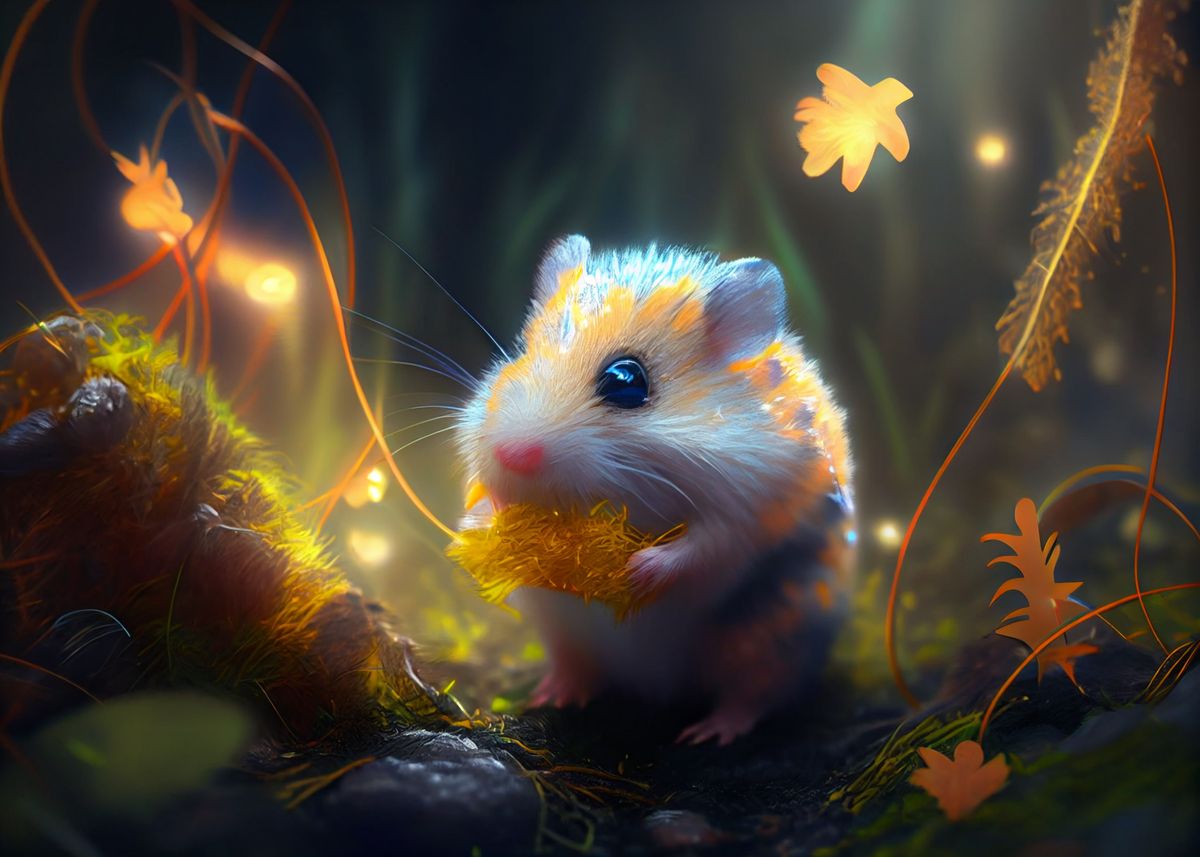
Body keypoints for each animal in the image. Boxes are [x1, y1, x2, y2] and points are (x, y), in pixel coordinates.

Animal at [455, 235, 855, 744]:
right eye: (520, 355)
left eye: (626, 381)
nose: (510, 455)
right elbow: (481, 495)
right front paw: (479, 522)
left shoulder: (751, 505)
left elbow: (705, 547)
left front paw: (636, 571)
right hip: (562, 629)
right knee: (577, 667)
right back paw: (550, 695)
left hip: (771, 633)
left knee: (755, 695)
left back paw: (707, 733)